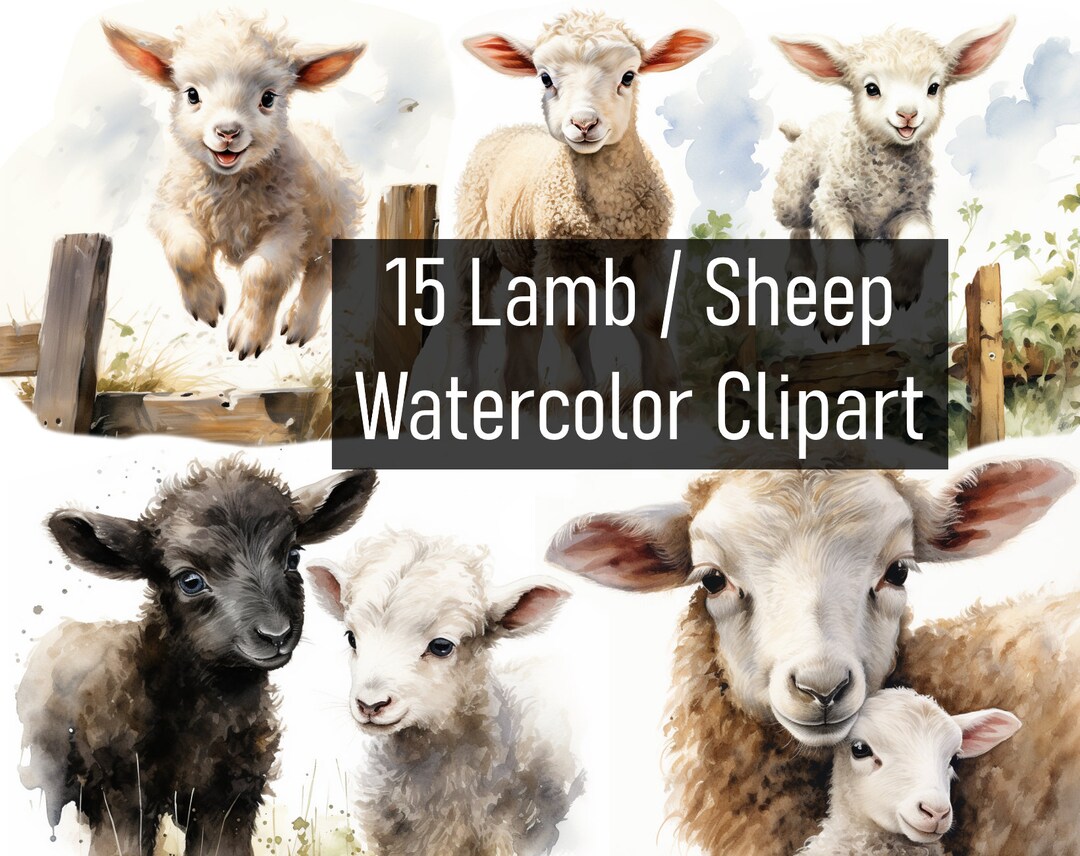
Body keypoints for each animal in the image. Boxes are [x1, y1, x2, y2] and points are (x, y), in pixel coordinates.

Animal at [102, 13, 366, 359]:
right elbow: (186, 250)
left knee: (322, 269)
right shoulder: (171, 207)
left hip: (332, 225)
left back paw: (300, 326)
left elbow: (263, 273)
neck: (230, 189)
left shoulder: (289, 224)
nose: (228, 132)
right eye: (192, 94)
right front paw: (206, 302)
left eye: (268, 98)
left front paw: (248, 335)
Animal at [456, 12, 714, 394]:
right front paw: (577, 393)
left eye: (628, 76)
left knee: (521, 318)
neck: (607, 213)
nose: (584, 123)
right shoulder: (560, 254)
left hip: (527, 255)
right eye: (545, 78)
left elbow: (651, 318)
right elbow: (571, 323)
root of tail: (509, 128)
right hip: (475, 238)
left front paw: (663, 390)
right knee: (469, 318)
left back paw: (523, 391)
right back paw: (463, 389)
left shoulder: (645, 251)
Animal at [771, 19, 1014, 242]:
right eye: (871, 88)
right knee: (798, 227)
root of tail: (801, 132)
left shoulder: (910, 210)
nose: (908, 114)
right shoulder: (830, 203)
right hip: (792, 197)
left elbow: (918, 241)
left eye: (933, 88)